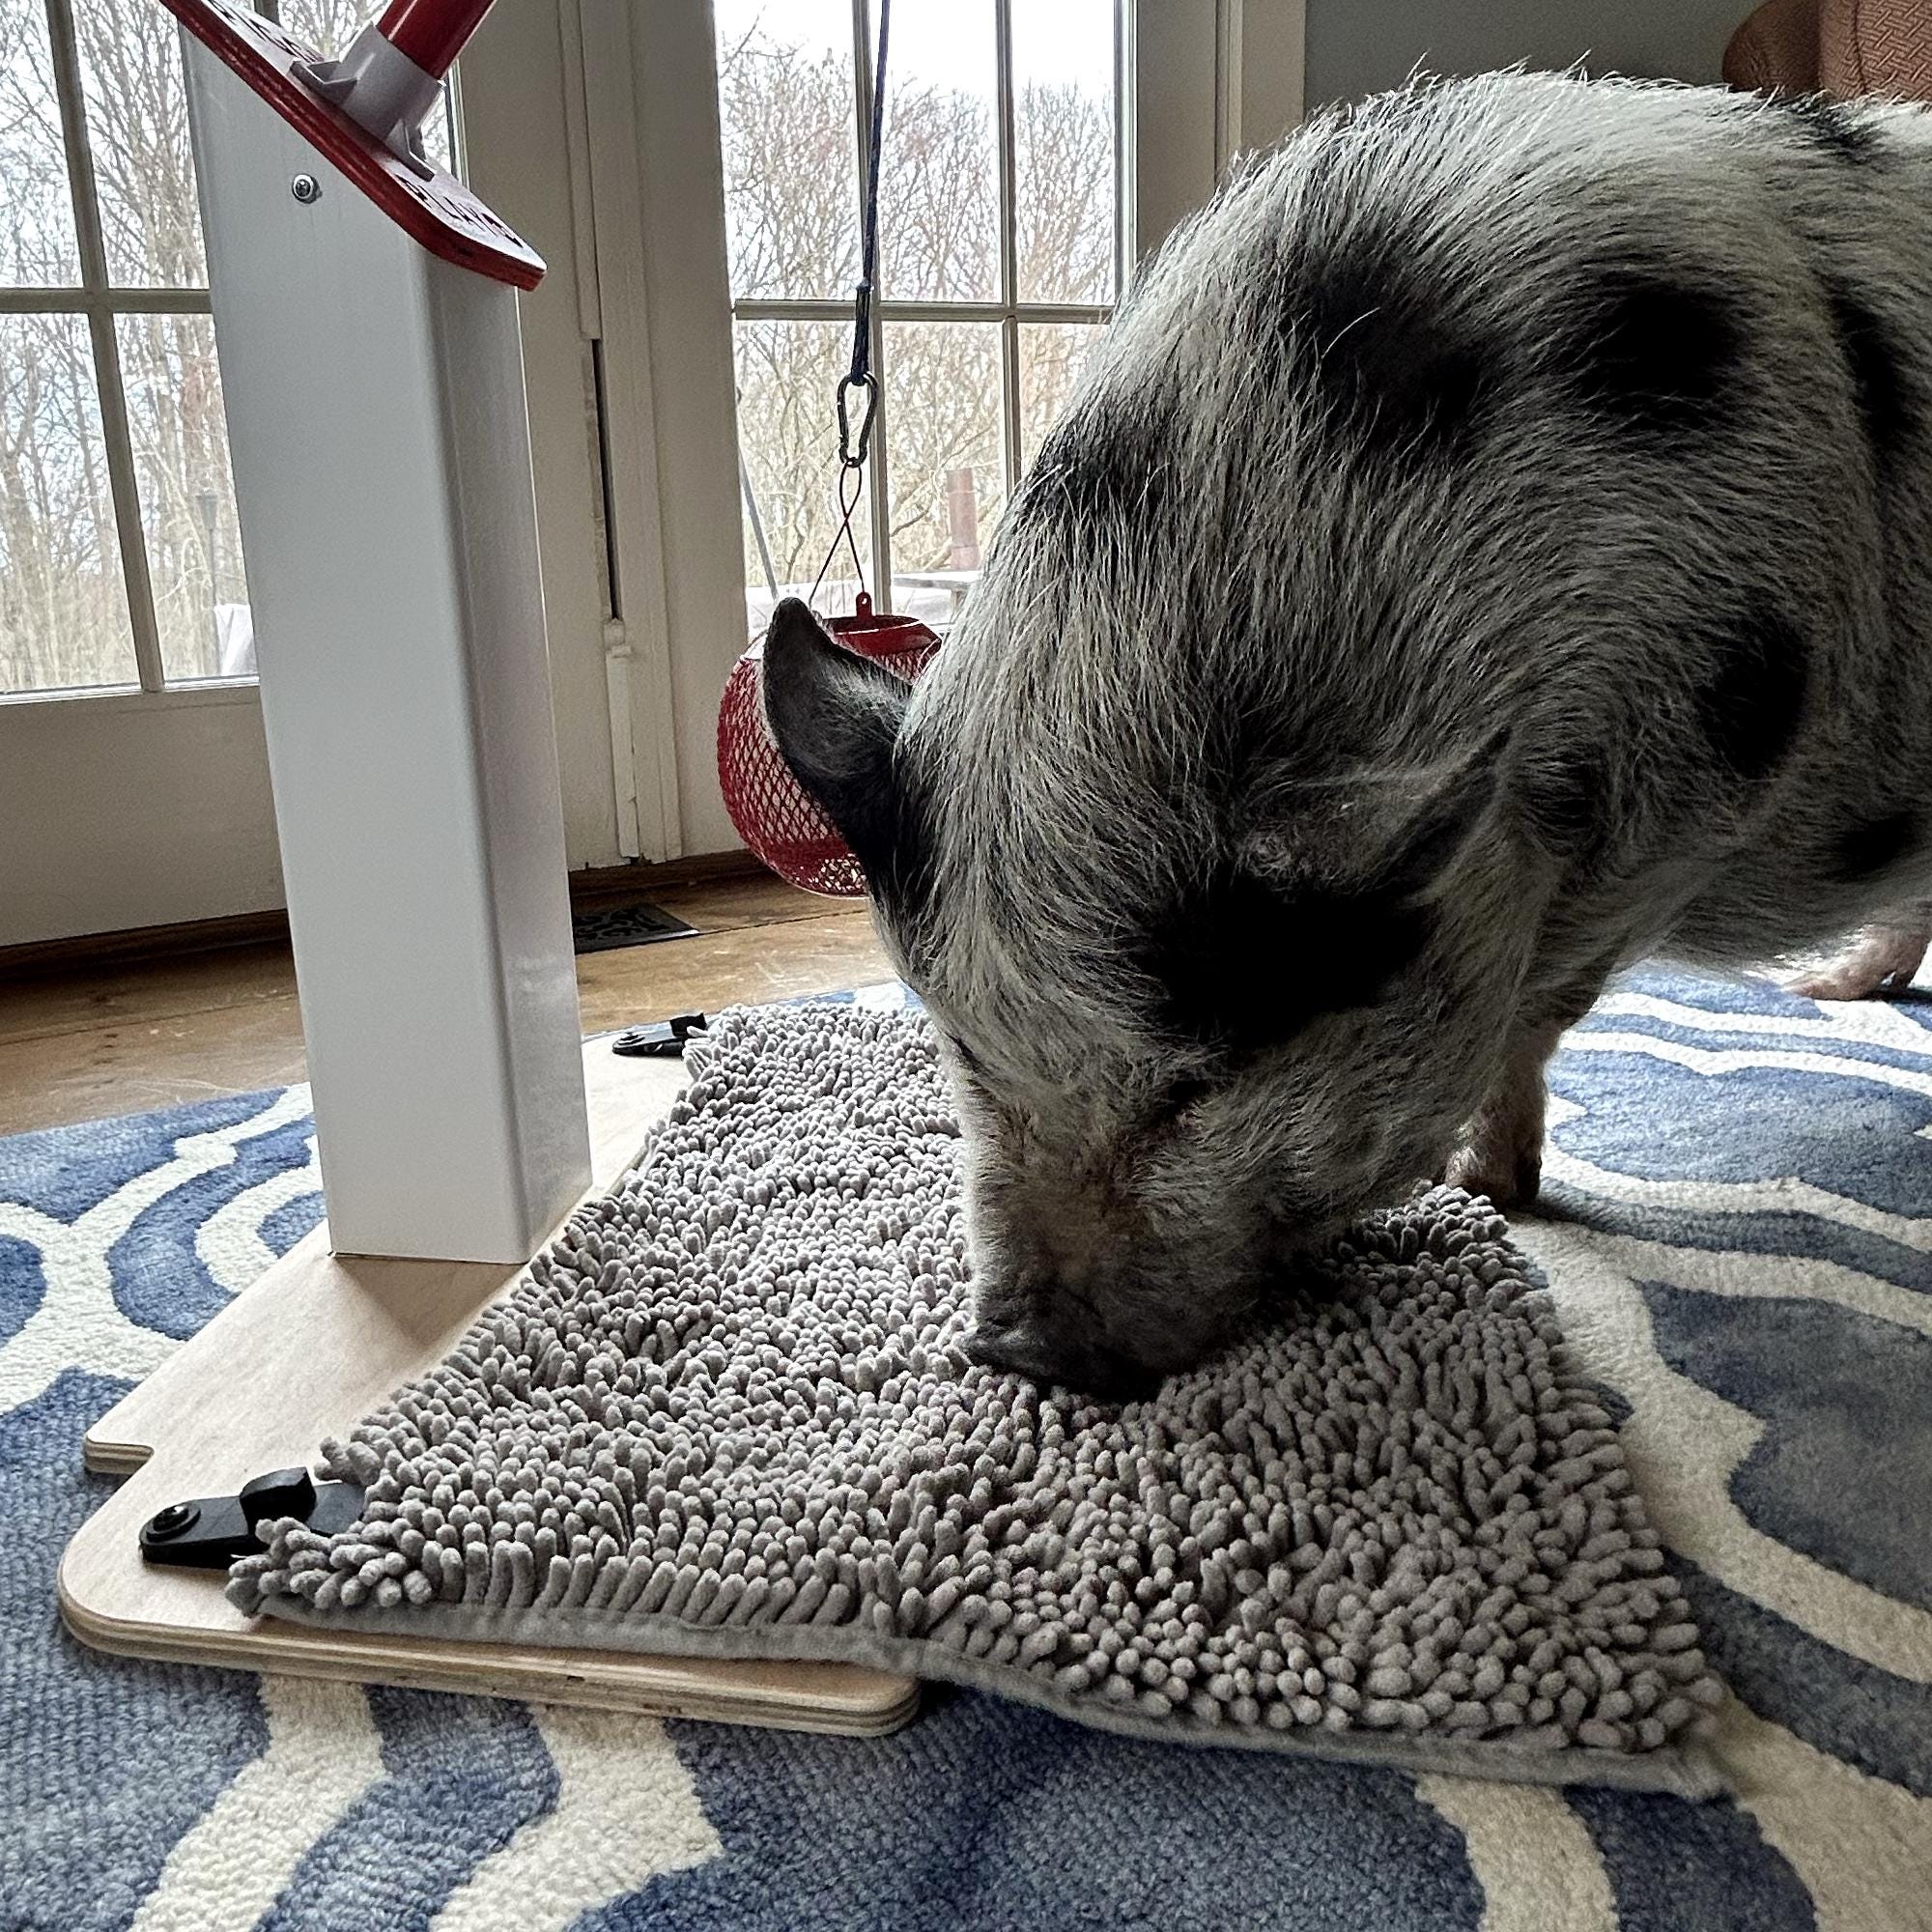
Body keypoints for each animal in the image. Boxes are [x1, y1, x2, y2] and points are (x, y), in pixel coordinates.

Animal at [762, 71, 1932, 1395]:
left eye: (1193, 1086)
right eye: (962, 1042)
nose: (1016, 1348)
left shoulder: (1672, 811)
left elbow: (1539, 1014)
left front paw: (1486, 1190)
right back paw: (1833, 988)